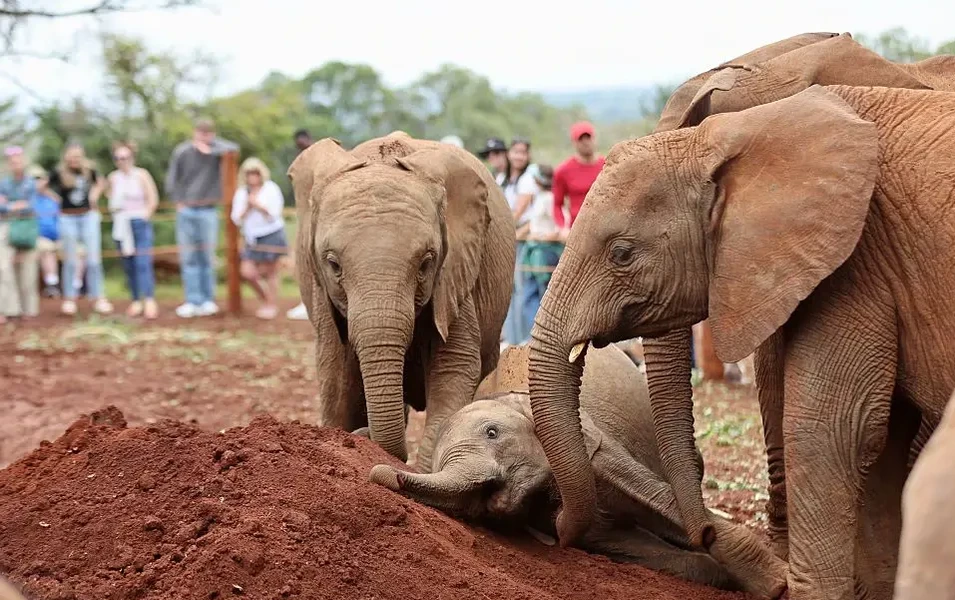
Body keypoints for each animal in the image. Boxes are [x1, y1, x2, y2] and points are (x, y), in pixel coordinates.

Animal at [288, 131, 516, 470]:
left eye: (426, 263)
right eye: (333, 264)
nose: (364, 435)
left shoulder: (454, 275)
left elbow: (454, 369)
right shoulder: (323, 294)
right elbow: (336, 378)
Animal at [370, 344, 787, 598]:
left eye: (492, 432)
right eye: (473, 502)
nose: (379, 473)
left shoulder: (590, 438)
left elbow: (655, 498)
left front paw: (780, 585)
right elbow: (611, 537)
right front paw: (724, 574)